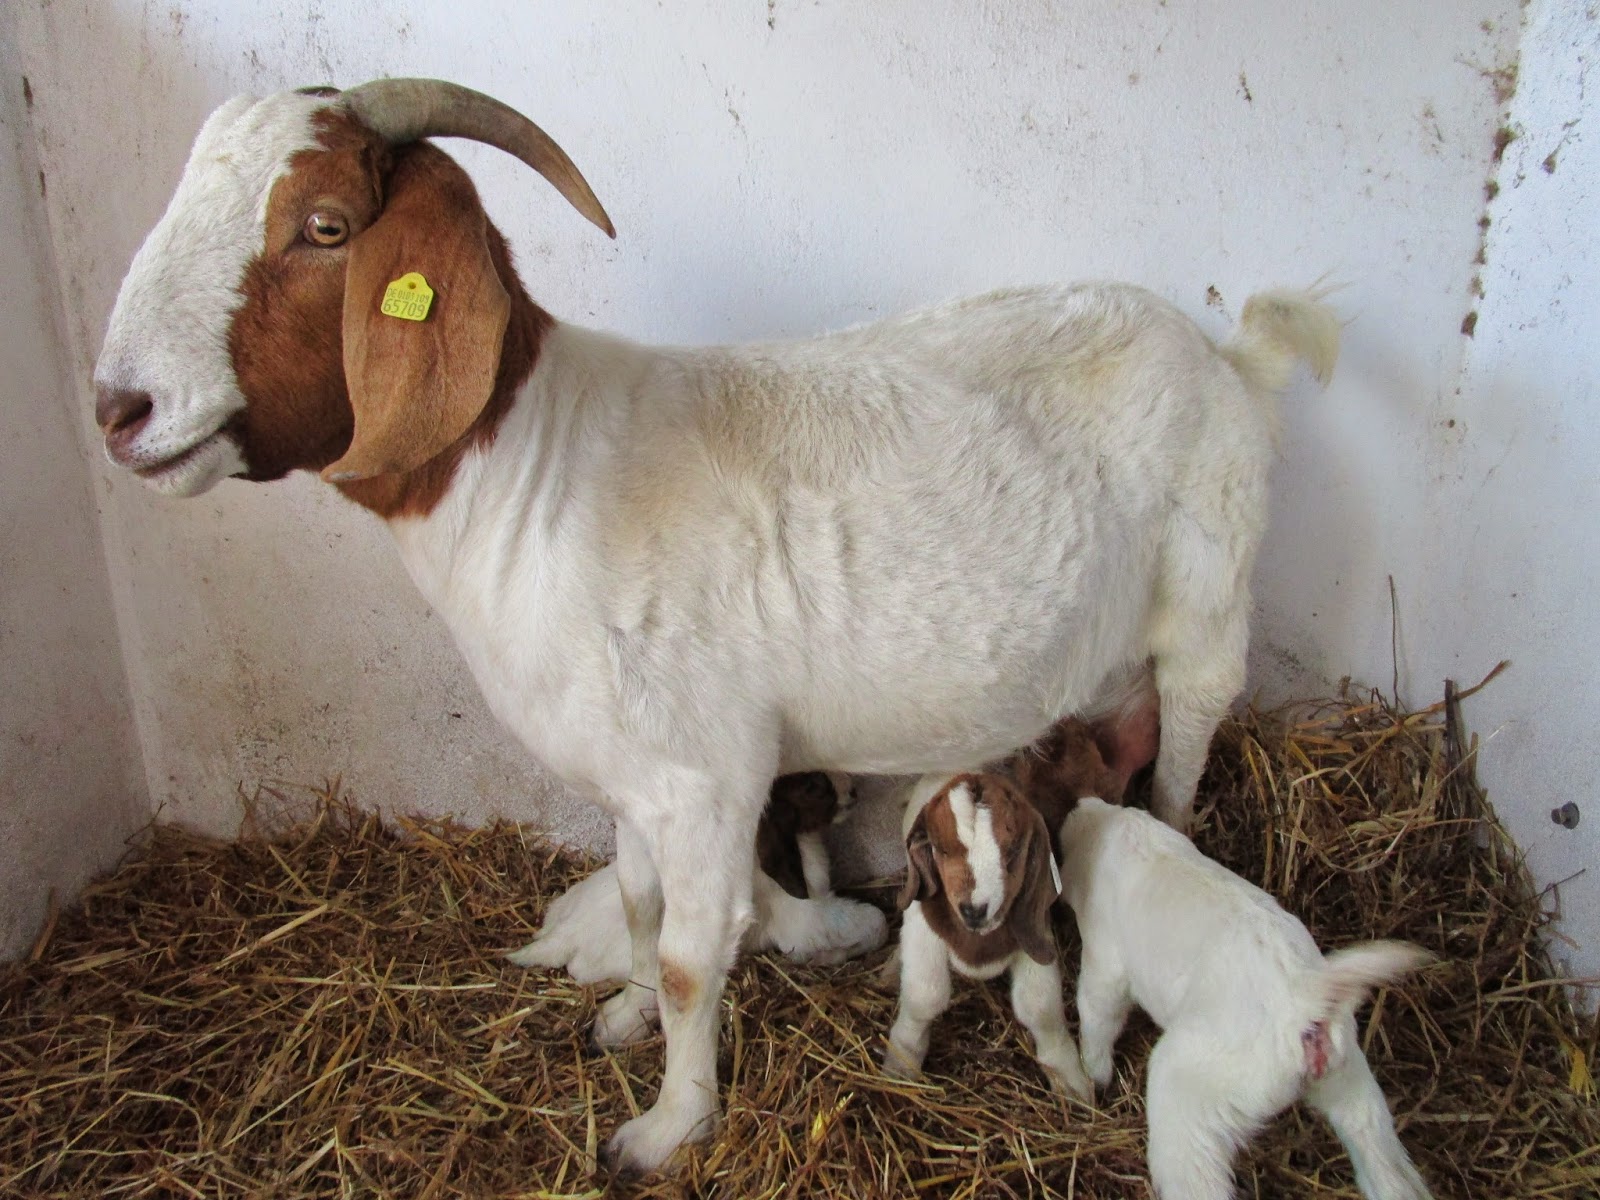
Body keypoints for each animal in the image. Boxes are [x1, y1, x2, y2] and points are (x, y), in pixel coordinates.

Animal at [508, 771, 886, 987]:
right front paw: (828, 957)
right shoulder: (801, 922)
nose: (854, 791)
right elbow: (874, 922)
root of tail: (559, 938)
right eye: (811, 787)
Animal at [884, 771, 1092, 1099]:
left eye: (1013, 852)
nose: (974, 910)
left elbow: (1039, 1006)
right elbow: (925, 996)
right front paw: (901, 1063)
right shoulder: (922, 928)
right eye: (941, 849)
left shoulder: (1034, 933)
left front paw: (1070, 1079)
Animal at [1059, 797, 1435, 1200]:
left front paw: (1094, 1079)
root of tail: (1305, 1000)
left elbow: (1097, 1015)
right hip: (1349, 1077)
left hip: (1190, 1095)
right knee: (1384, 1161)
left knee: (1194, 1178)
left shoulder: (1105, 962)